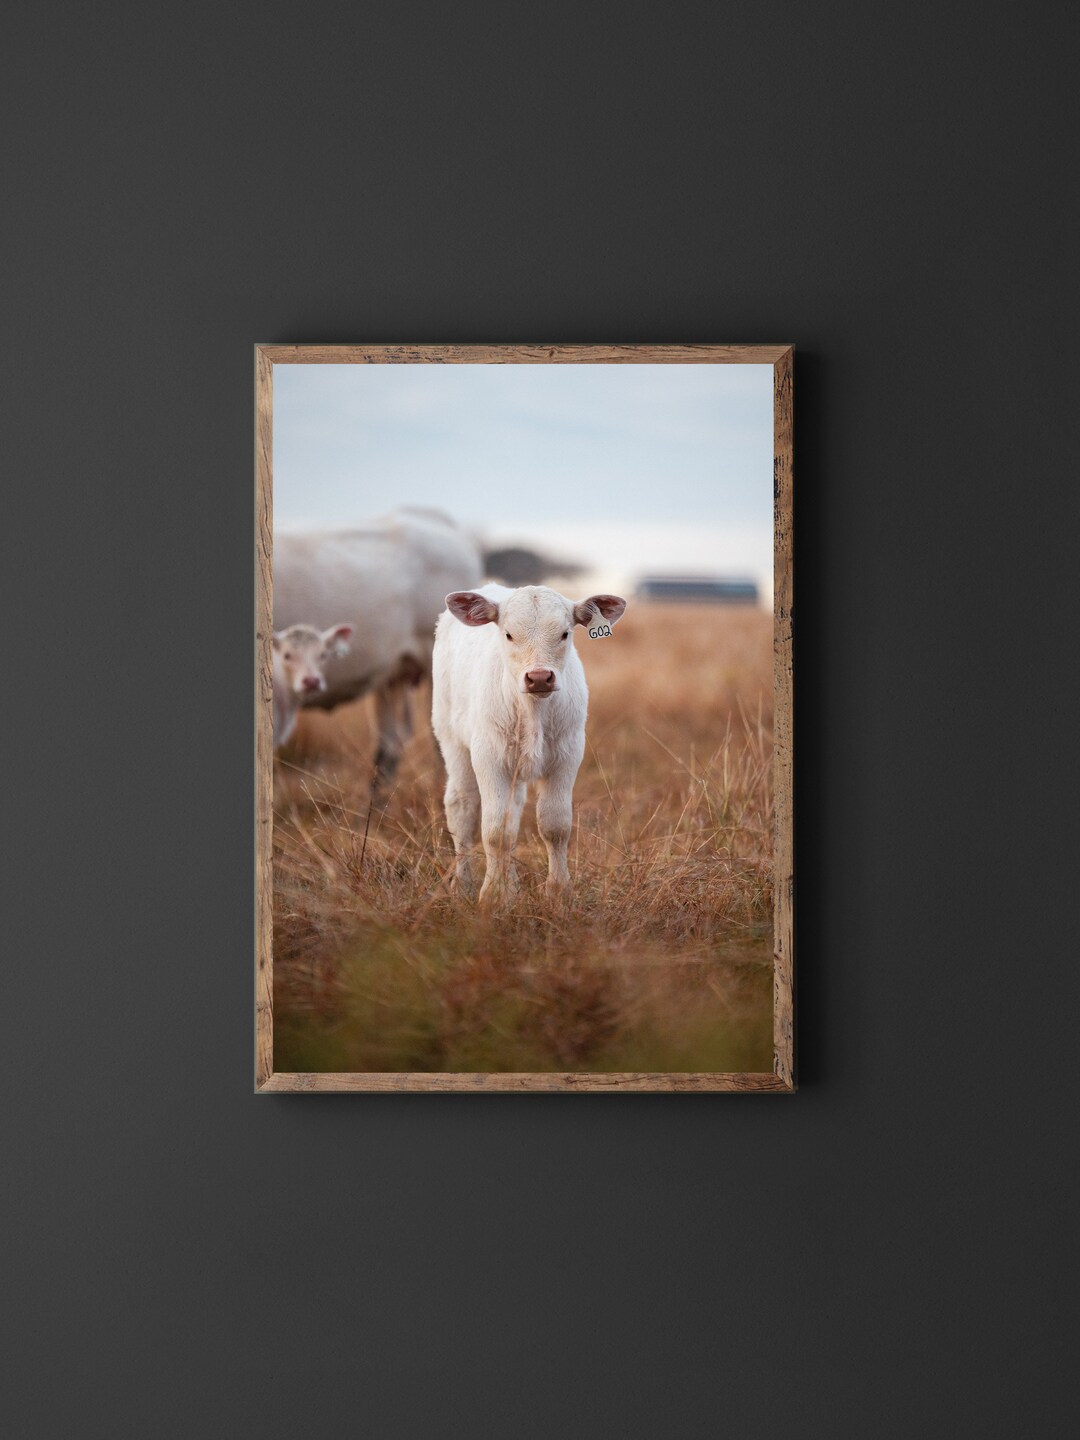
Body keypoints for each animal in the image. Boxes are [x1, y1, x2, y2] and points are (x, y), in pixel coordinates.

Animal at [431, 582, 627, 903]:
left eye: (565, 633)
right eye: (509, 634)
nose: (539, 677)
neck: (533, 710)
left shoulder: (568, 754)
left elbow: (555, 825)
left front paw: (558, 892)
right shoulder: (488, 757)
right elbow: (495, 831)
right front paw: (493, 895)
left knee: (513, 814)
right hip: (451, 739)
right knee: (462, 808)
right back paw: (463, 884)